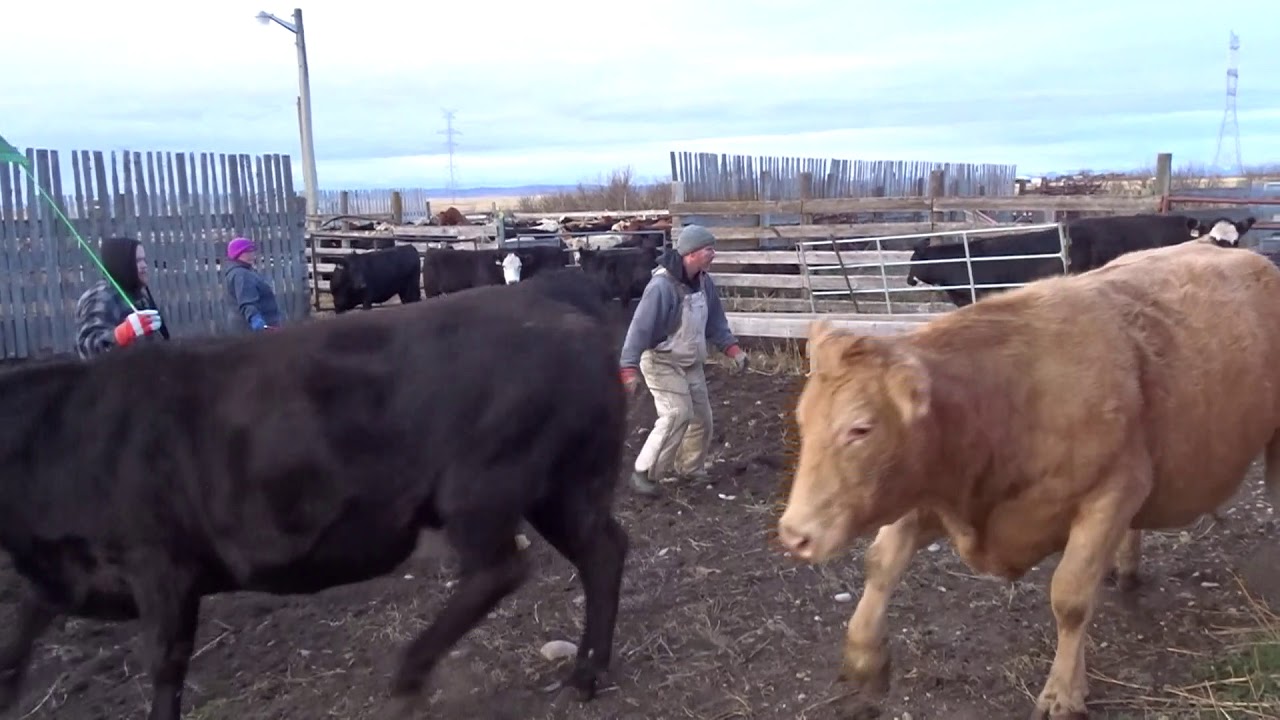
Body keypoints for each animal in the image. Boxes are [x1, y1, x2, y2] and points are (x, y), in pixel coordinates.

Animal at [0, 270, 631, 720]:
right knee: (602, 550)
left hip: (483, 487)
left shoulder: (159, 565)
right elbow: (23, 629)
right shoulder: (72, 576)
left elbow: (164, 666)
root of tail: (553, 294)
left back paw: (409, 676)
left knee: (500, 569)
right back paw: (585, 674)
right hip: (561, 486)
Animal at [776, 239, 1280, 720]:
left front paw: (1063, 693)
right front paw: (865, 661)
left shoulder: (1113, 491)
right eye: (803, 418)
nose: (794, 534)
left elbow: (1071, 597)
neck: (1008, 401)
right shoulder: (926, 493)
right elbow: (880, 564)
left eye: (860, 429)